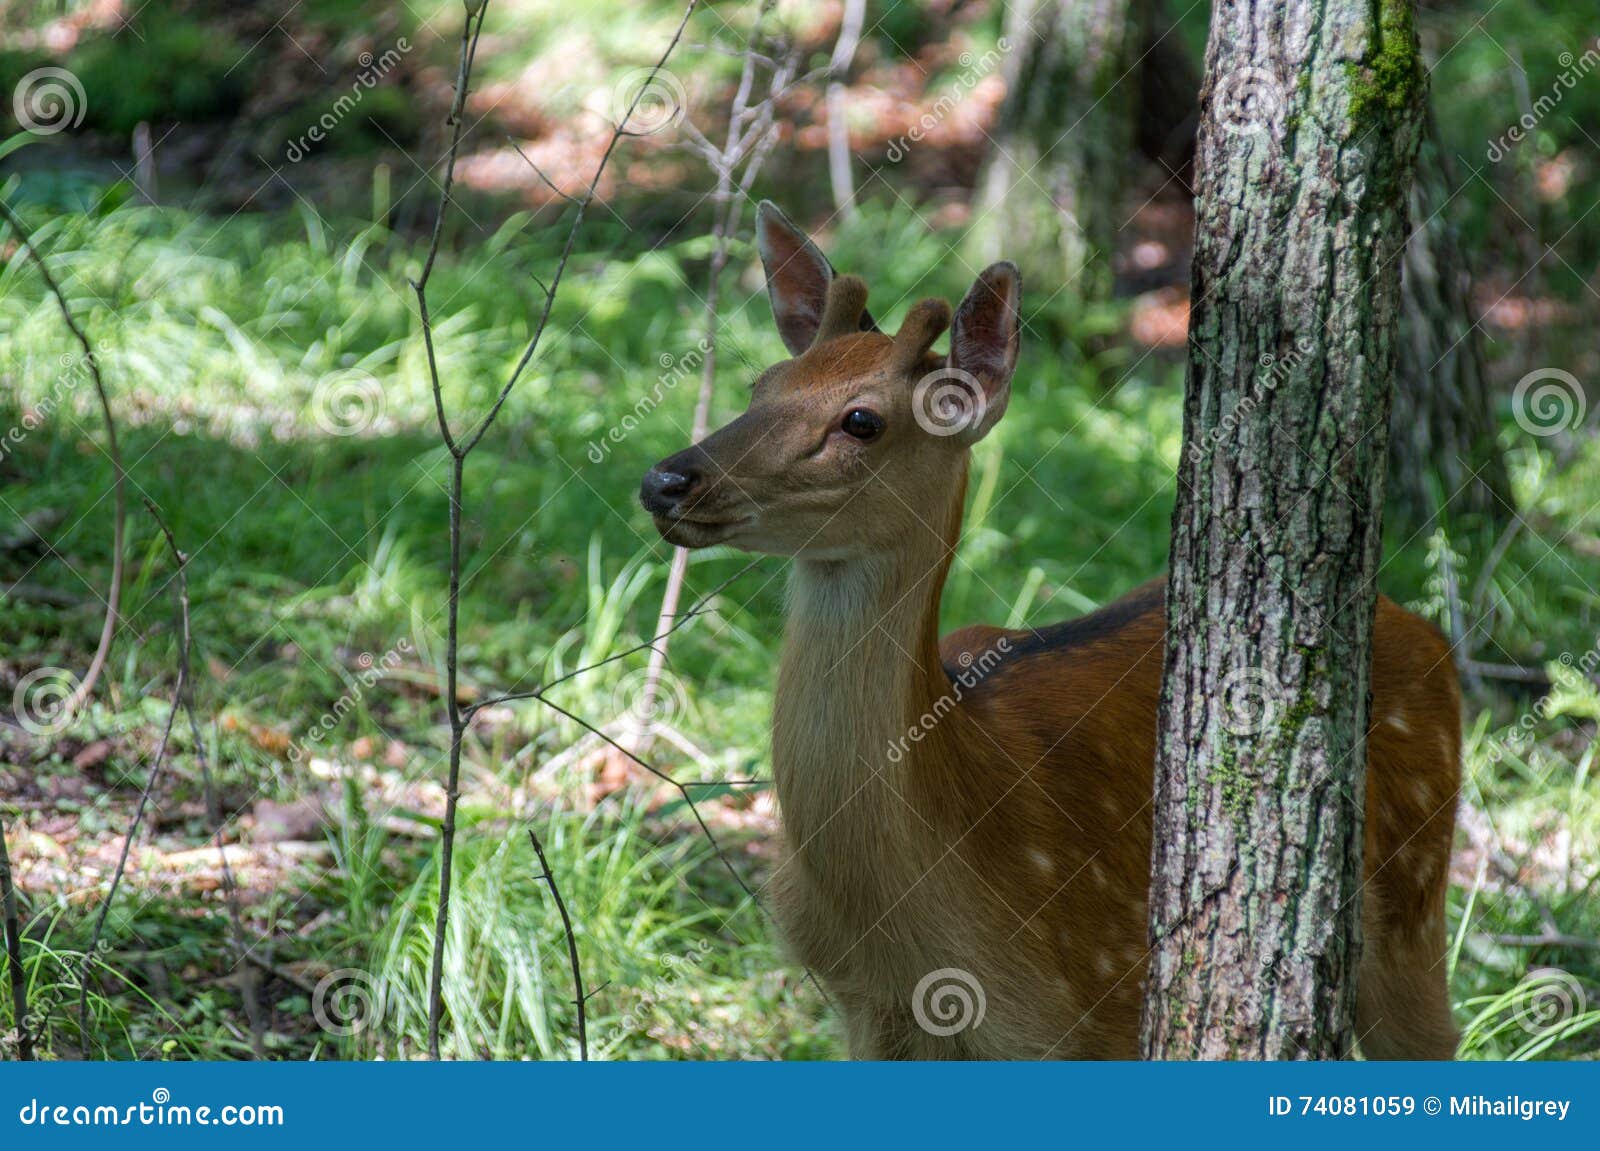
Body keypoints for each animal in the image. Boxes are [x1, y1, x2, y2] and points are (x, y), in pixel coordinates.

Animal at [639, 203, 1461, 1060]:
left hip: (1414, 901)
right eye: (761, 386)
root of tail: (1419, 628)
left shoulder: (1079, 1010)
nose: (665, 479)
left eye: (861, 420)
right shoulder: (864, 1012)